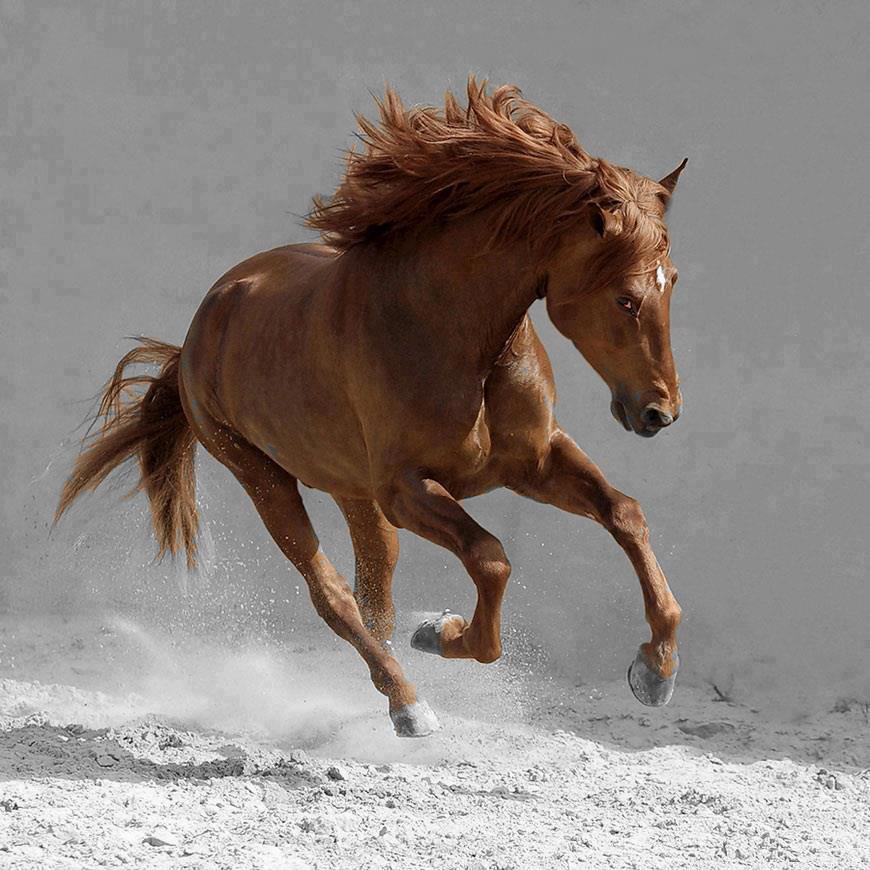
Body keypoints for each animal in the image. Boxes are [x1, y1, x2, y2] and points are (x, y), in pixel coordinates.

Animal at [56, 78, 688, 737]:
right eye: (625, 298)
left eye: (673, 280)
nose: (659, 412)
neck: (452, 333)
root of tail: (198, 333)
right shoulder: (406, 489)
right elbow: (490, 559)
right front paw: (440, 633)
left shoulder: (532, 464)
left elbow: (624, 514)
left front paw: (655, 671)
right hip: (263, 477)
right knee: (333, 596)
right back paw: (408, 704)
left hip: (353, 493)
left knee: (372, 598)